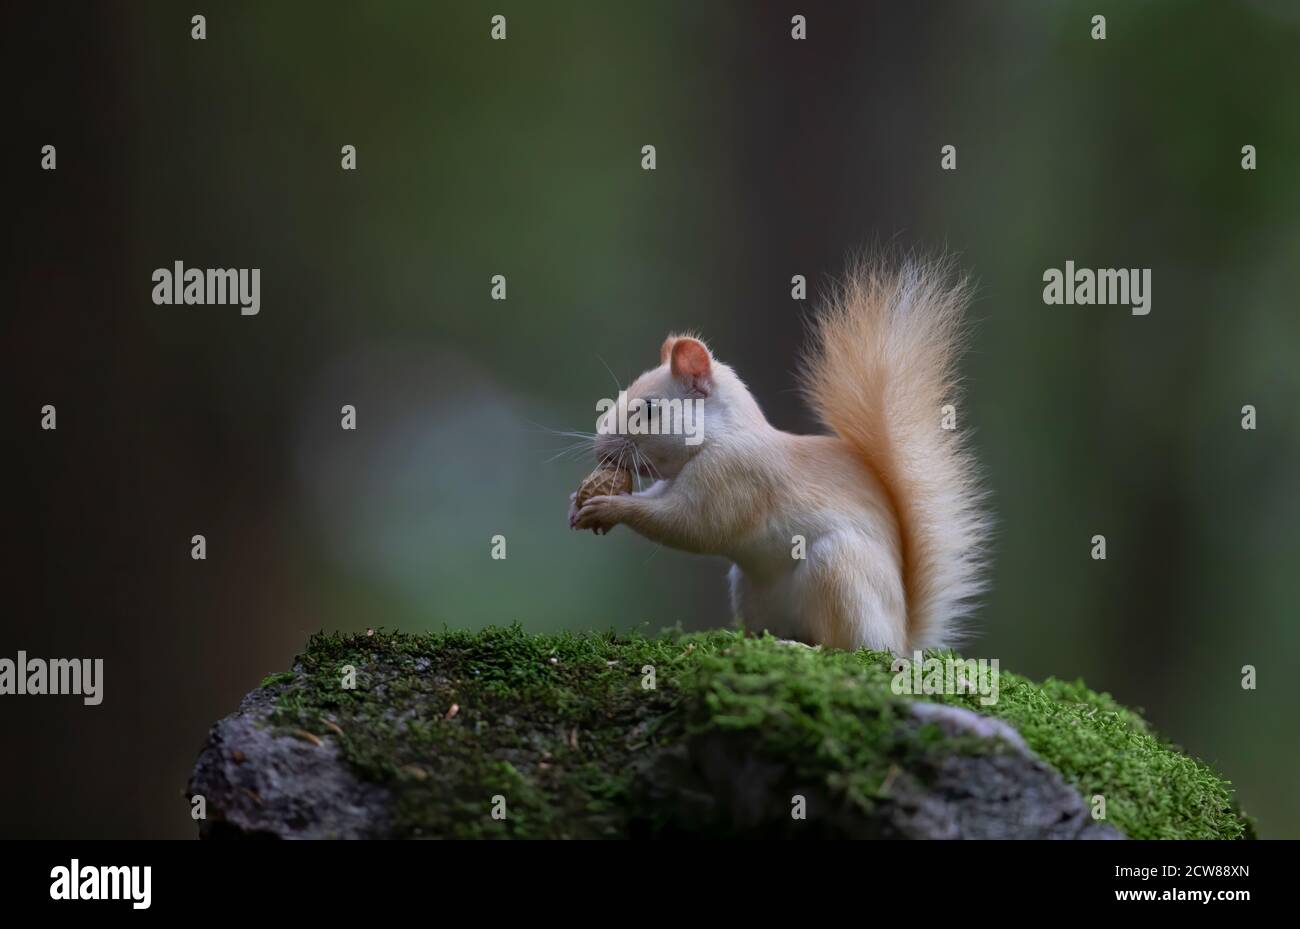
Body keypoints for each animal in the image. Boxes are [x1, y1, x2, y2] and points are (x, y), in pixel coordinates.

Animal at [568, 255, 988, 653]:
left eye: (650, 408)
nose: (599, 448)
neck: (723, 436)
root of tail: (900, 639)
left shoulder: (736, 476)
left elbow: (690, 525)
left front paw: (610, 507)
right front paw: (579, 501)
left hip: (839, 568)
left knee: (847, 646)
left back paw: (802, 647)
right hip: (748, 588)